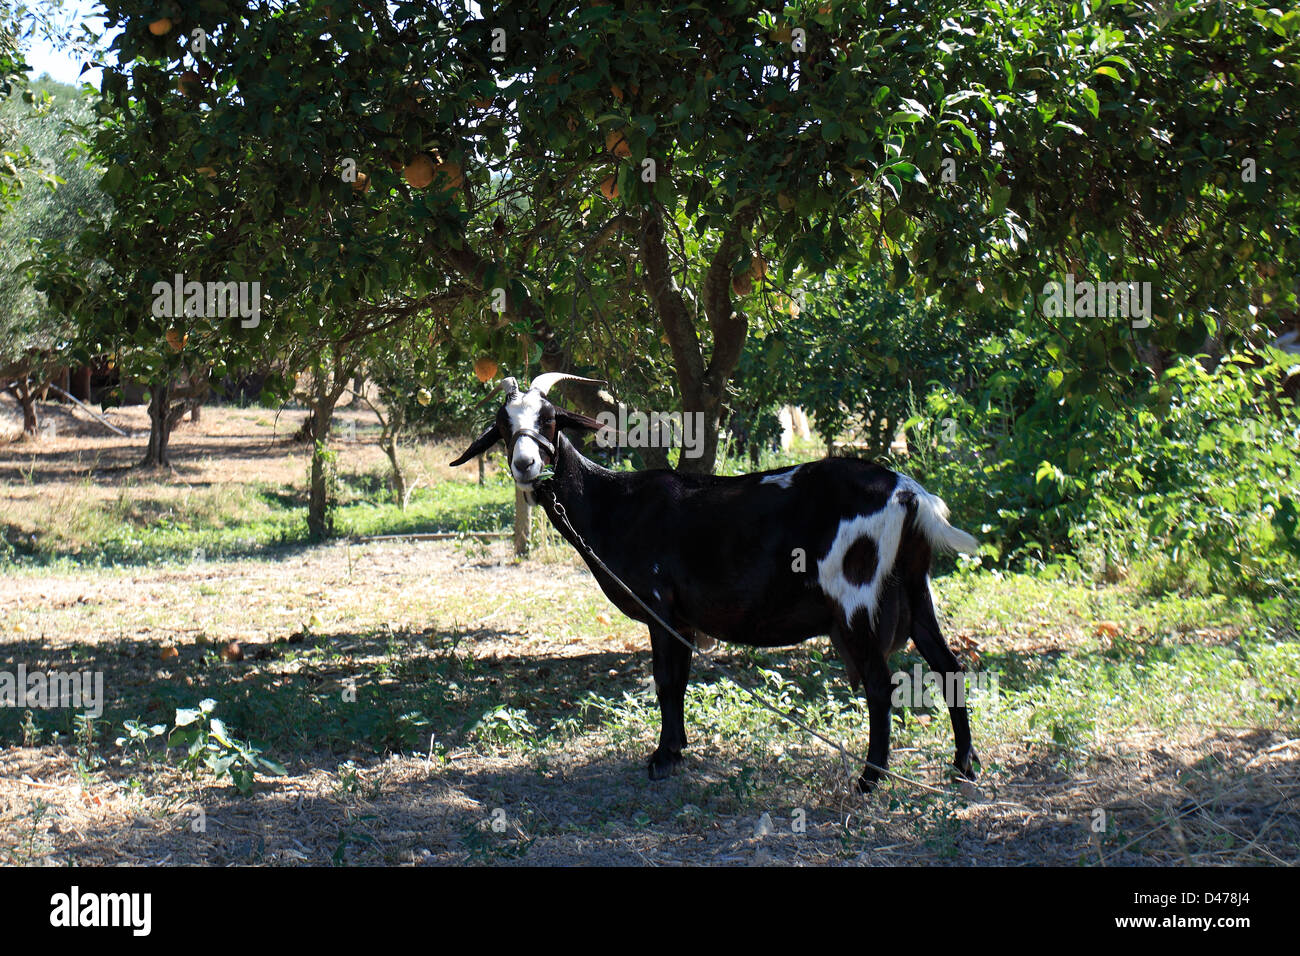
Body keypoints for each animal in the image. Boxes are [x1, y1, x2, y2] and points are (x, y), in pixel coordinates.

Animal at [451, 373, 981, 791]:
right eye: (503, 424)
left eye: (549, 419)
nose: (526, 464)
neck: (613, 502)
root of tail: (909, 493)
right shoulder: (683, 618)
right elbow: (681, 680)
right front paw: (677, 749)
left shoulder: (661, 607)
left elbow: (665, 680)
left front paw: (662, 759)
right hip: (915, 589)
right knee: (949, 668)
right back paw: (963, 766)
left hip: (856, 598)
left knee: (879, 683)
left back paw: (871, 778)